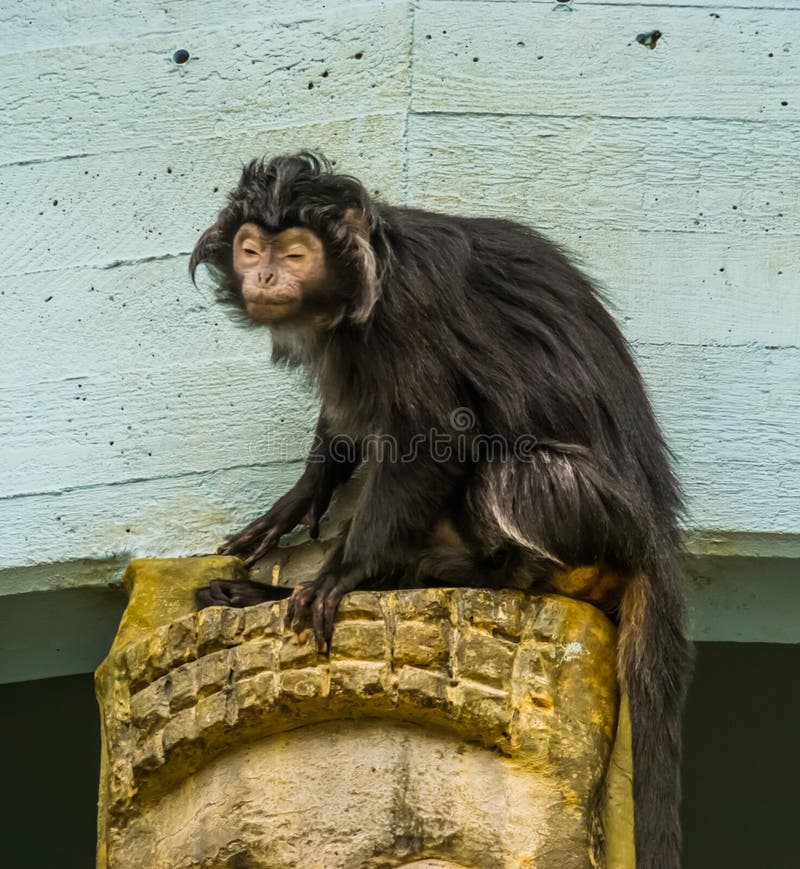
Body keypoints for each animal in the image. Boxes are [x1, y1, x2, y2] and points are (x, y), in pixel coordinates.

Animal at [190, 152, 691, 869]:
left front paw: (343, 574)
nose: (262, 276)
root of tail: (654, 529)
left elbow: (435, 434)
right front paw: (300, 498)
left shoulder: (404, 316)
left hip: (587, 509)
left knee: (508, 470)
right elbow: (350, 420)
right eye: (252, 250)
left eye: (295, 254)